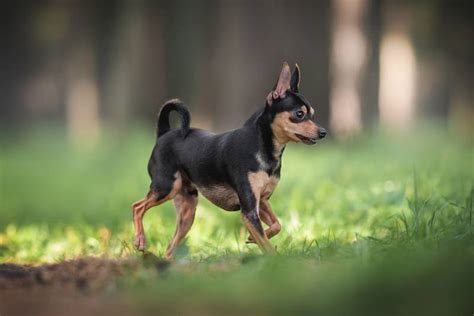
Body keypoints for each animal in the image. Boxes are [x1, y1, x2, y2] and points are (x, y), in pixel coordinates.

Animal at [132, 63, 326, 258]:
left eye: (313, 115)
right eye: (299, 114)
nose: (323, 132)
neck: (264, 147)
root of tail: (163, 134)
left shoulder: (261, 202)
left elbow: (277, 225)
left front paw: (253, 238)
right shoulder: (249, 210)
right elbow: (267, 245)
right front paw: (274, 259)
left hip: (187, 211)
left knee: (170, 248)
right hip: (166, 187)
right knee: (137, 207)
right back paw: (140, 240)